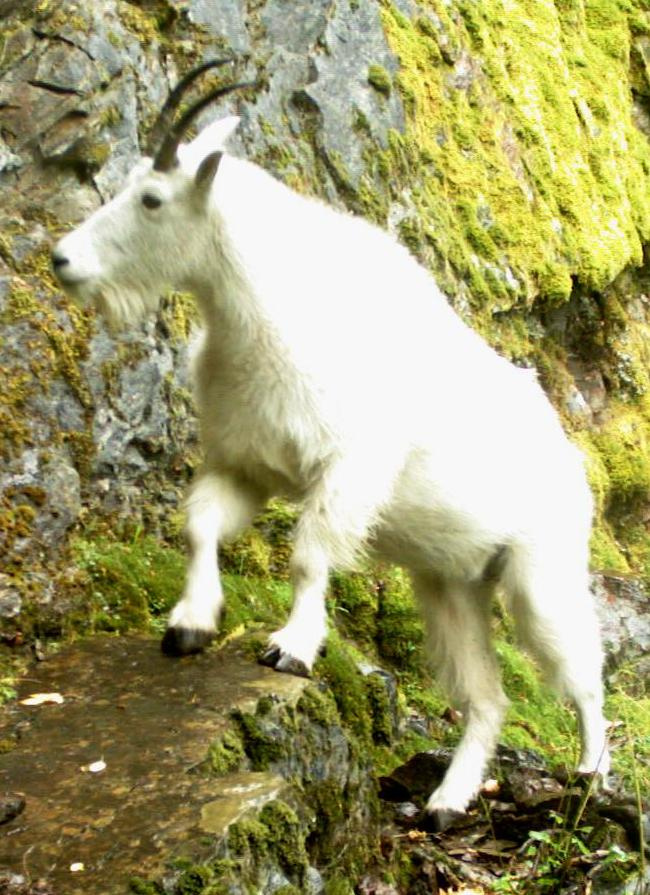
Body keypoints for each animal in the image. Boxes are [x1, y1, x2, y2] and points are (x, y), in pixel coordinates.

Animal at [52, 61, 609, 826]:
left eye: (153, 199)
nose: (63, 259)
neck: (266, 314)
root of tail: (572, 460)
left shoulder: (346, 471)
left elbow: (308, 557)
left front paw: (289, 647)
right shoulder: (243, 464)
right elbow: (201, 527)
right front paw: (190, 624)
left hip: (540, 571)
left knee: (583, 668)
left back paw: (591, 772)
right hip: (452, 584)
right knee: (488, 698)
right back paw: (445, 802)